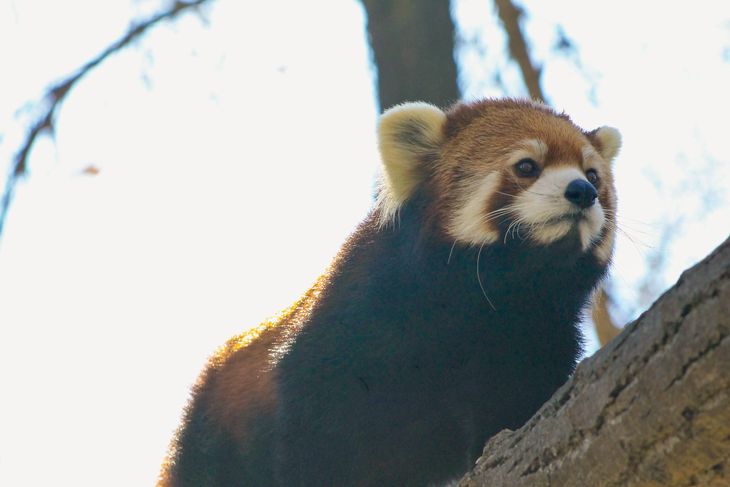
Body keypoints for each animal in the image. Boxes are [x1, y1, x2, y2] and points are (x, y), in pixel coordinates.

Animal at [158, 98, 621, 486]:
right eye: (527, 166)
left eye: (593, 174)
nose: (582, 192)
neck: (487, 300)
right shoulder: (352, 325)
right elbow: (315, 437)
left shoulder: (535, 338)